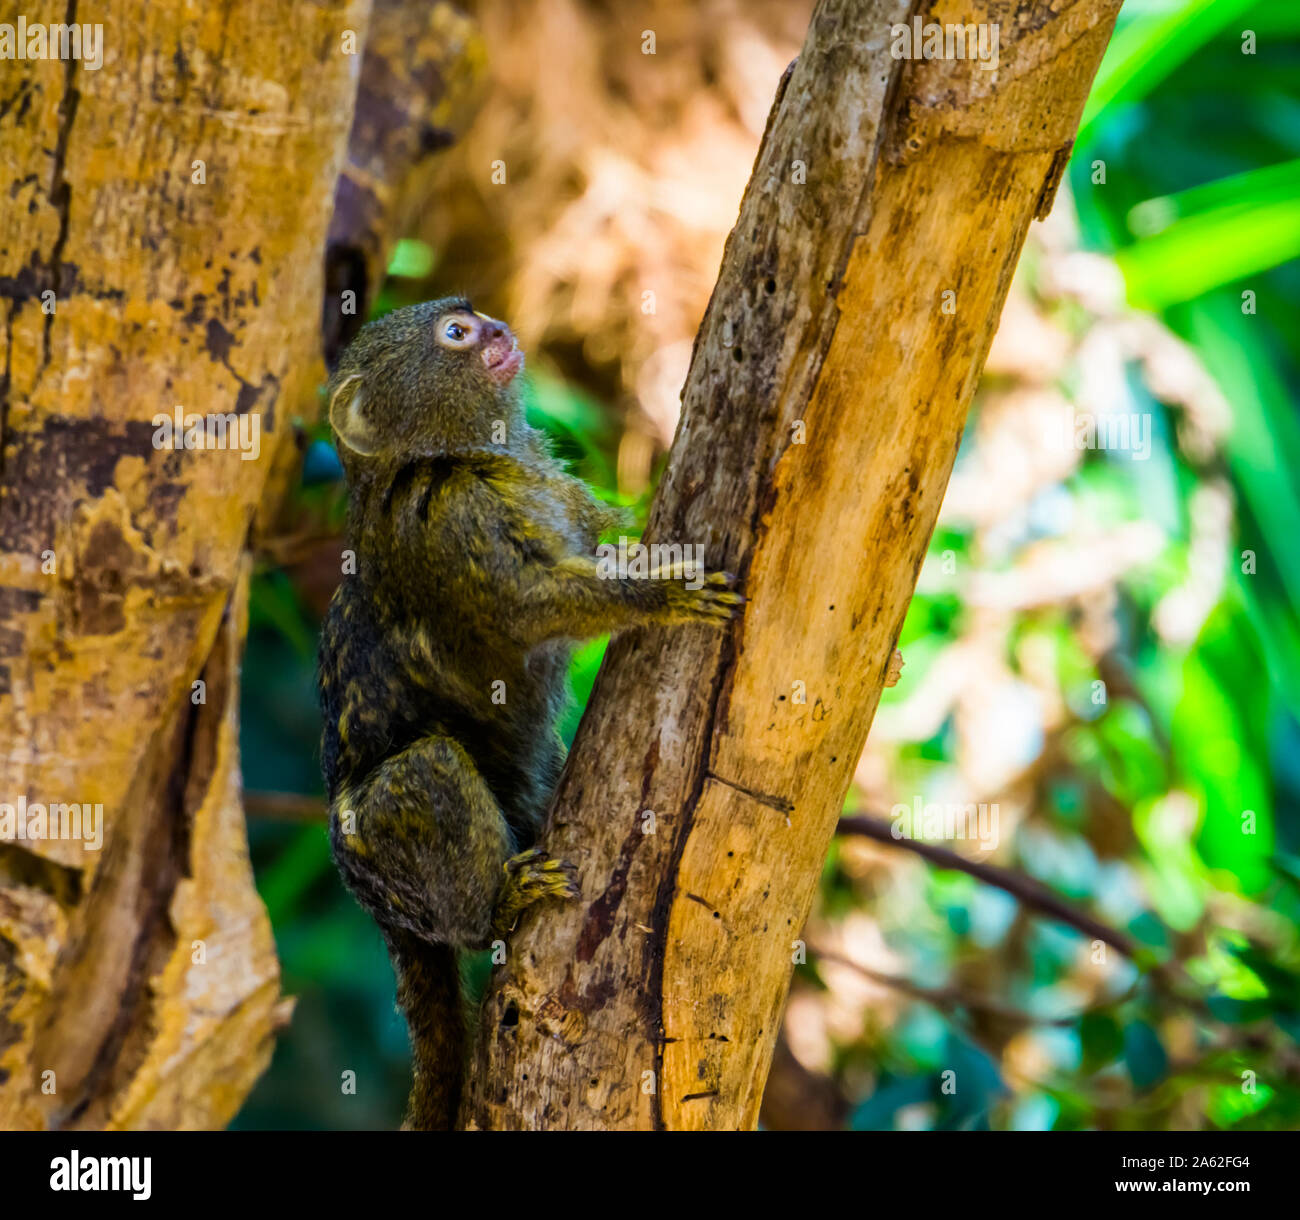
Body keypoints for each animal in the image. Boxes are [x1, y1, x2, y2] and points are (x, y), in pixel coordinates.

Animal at [316, 296, 744, 1130]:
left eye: (471, 315)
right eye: (455, 335)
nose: (497, 329)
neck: (463, 457)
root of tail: (376, 908)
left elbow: (606, 523)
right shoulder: (451, 523)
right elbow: (532, 610)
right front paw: (659, 594)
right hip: (377, 850)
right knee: (421, 772)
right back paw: (495, 908)